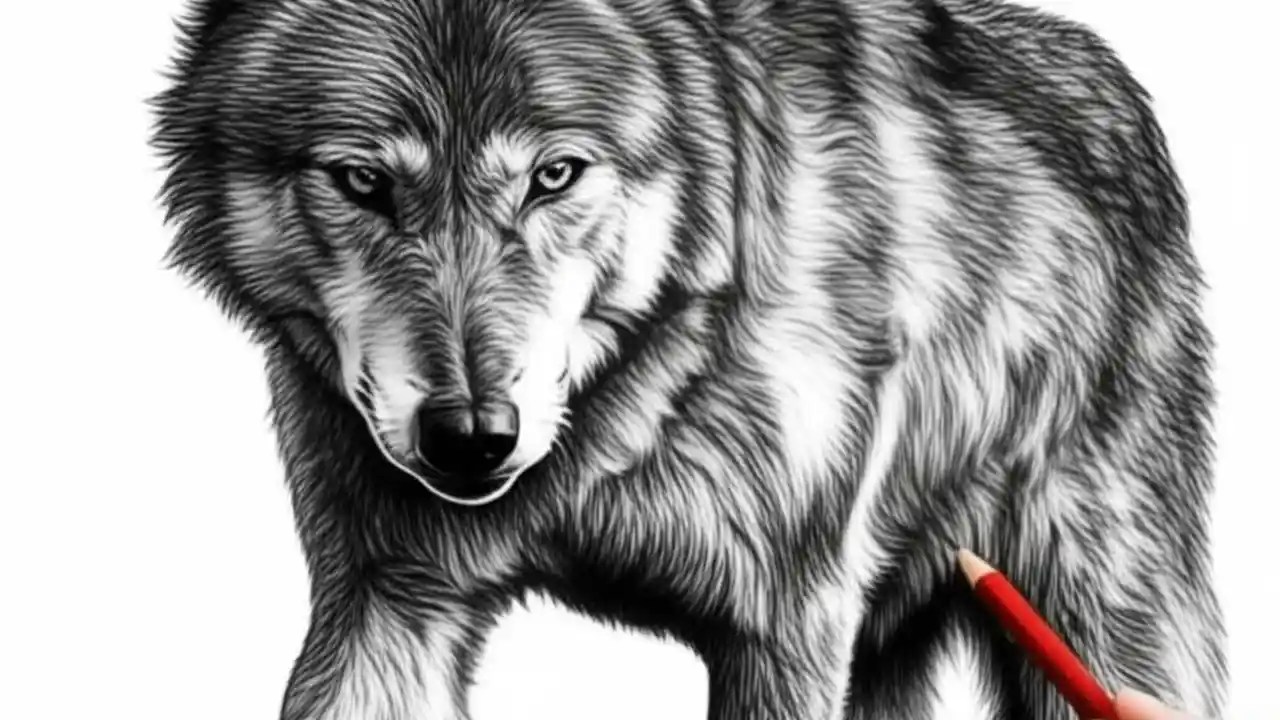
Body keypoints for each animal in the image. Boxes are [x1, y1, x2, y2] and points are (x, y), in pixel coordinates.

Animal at [151, 0, 1227, 717]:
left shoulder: (785, 627)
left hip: (1095, 605)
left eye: (555, 175)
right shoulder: (385, 603)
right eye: (361, 181)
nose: (470, 437)